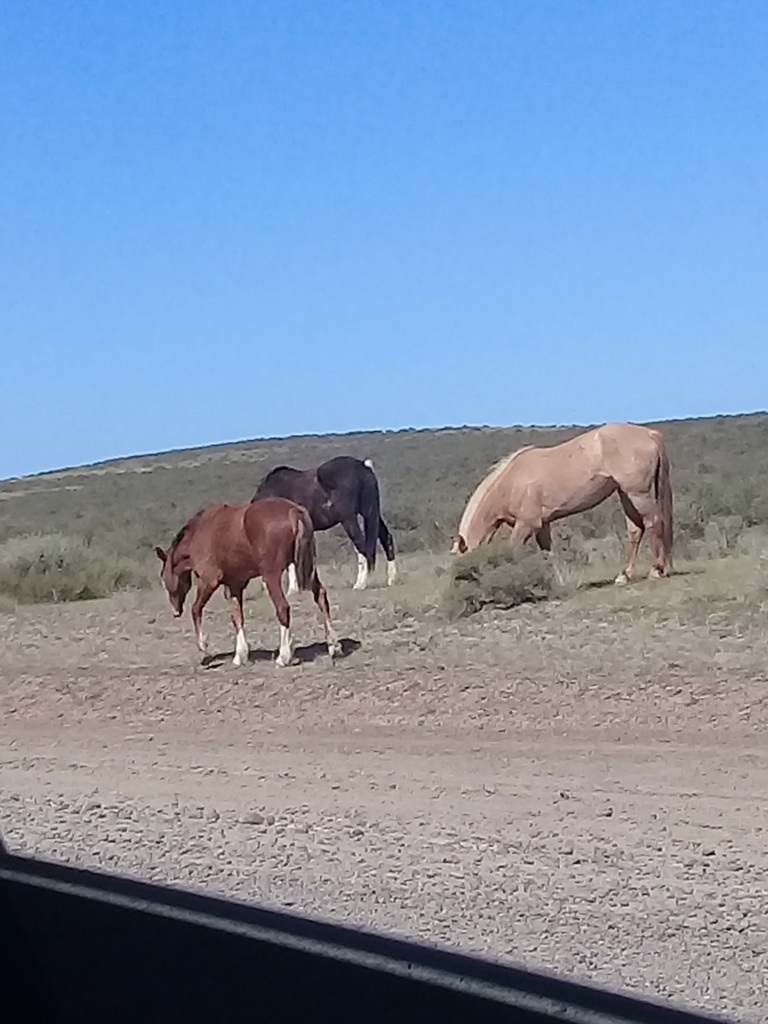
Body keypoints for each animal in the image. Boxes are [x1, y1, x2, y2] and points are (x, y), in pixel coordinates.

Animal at [155, 498, 340, 667]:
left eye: (164, 578)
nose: (176, 611)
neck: (200, 534)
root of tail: (293, 511)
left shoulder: (209, 580)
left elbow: (196, 610)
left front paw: (204, 648)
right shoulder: (235, 584)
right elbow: (237, 617)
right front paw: (240, 655)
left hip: (271, 576)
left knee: (283, 608)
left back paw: (284, 657)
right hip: (309, 569)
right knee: (321, 597)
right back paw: (333, 646)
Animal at [252, 456, 397, 592]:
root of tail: (362, 466)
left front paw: (292, 590)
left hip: (349, 519)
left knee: (362, 546)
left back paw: (360, 584)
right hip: (371, 513)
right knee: (386, 538)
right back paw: (392, 579)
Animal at [452, 423, 673, 583]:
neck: (512, 482)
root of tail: (649, 434)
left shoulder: (527, 525)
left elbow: (514, 550)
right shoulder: (542, 525)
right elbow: (548, 554)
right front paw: (558, 580)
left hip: (638, 494)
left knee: (654, 522)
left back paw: (656, 570)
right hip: (626, 494)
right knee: (635, 531)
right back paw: (624, 575)